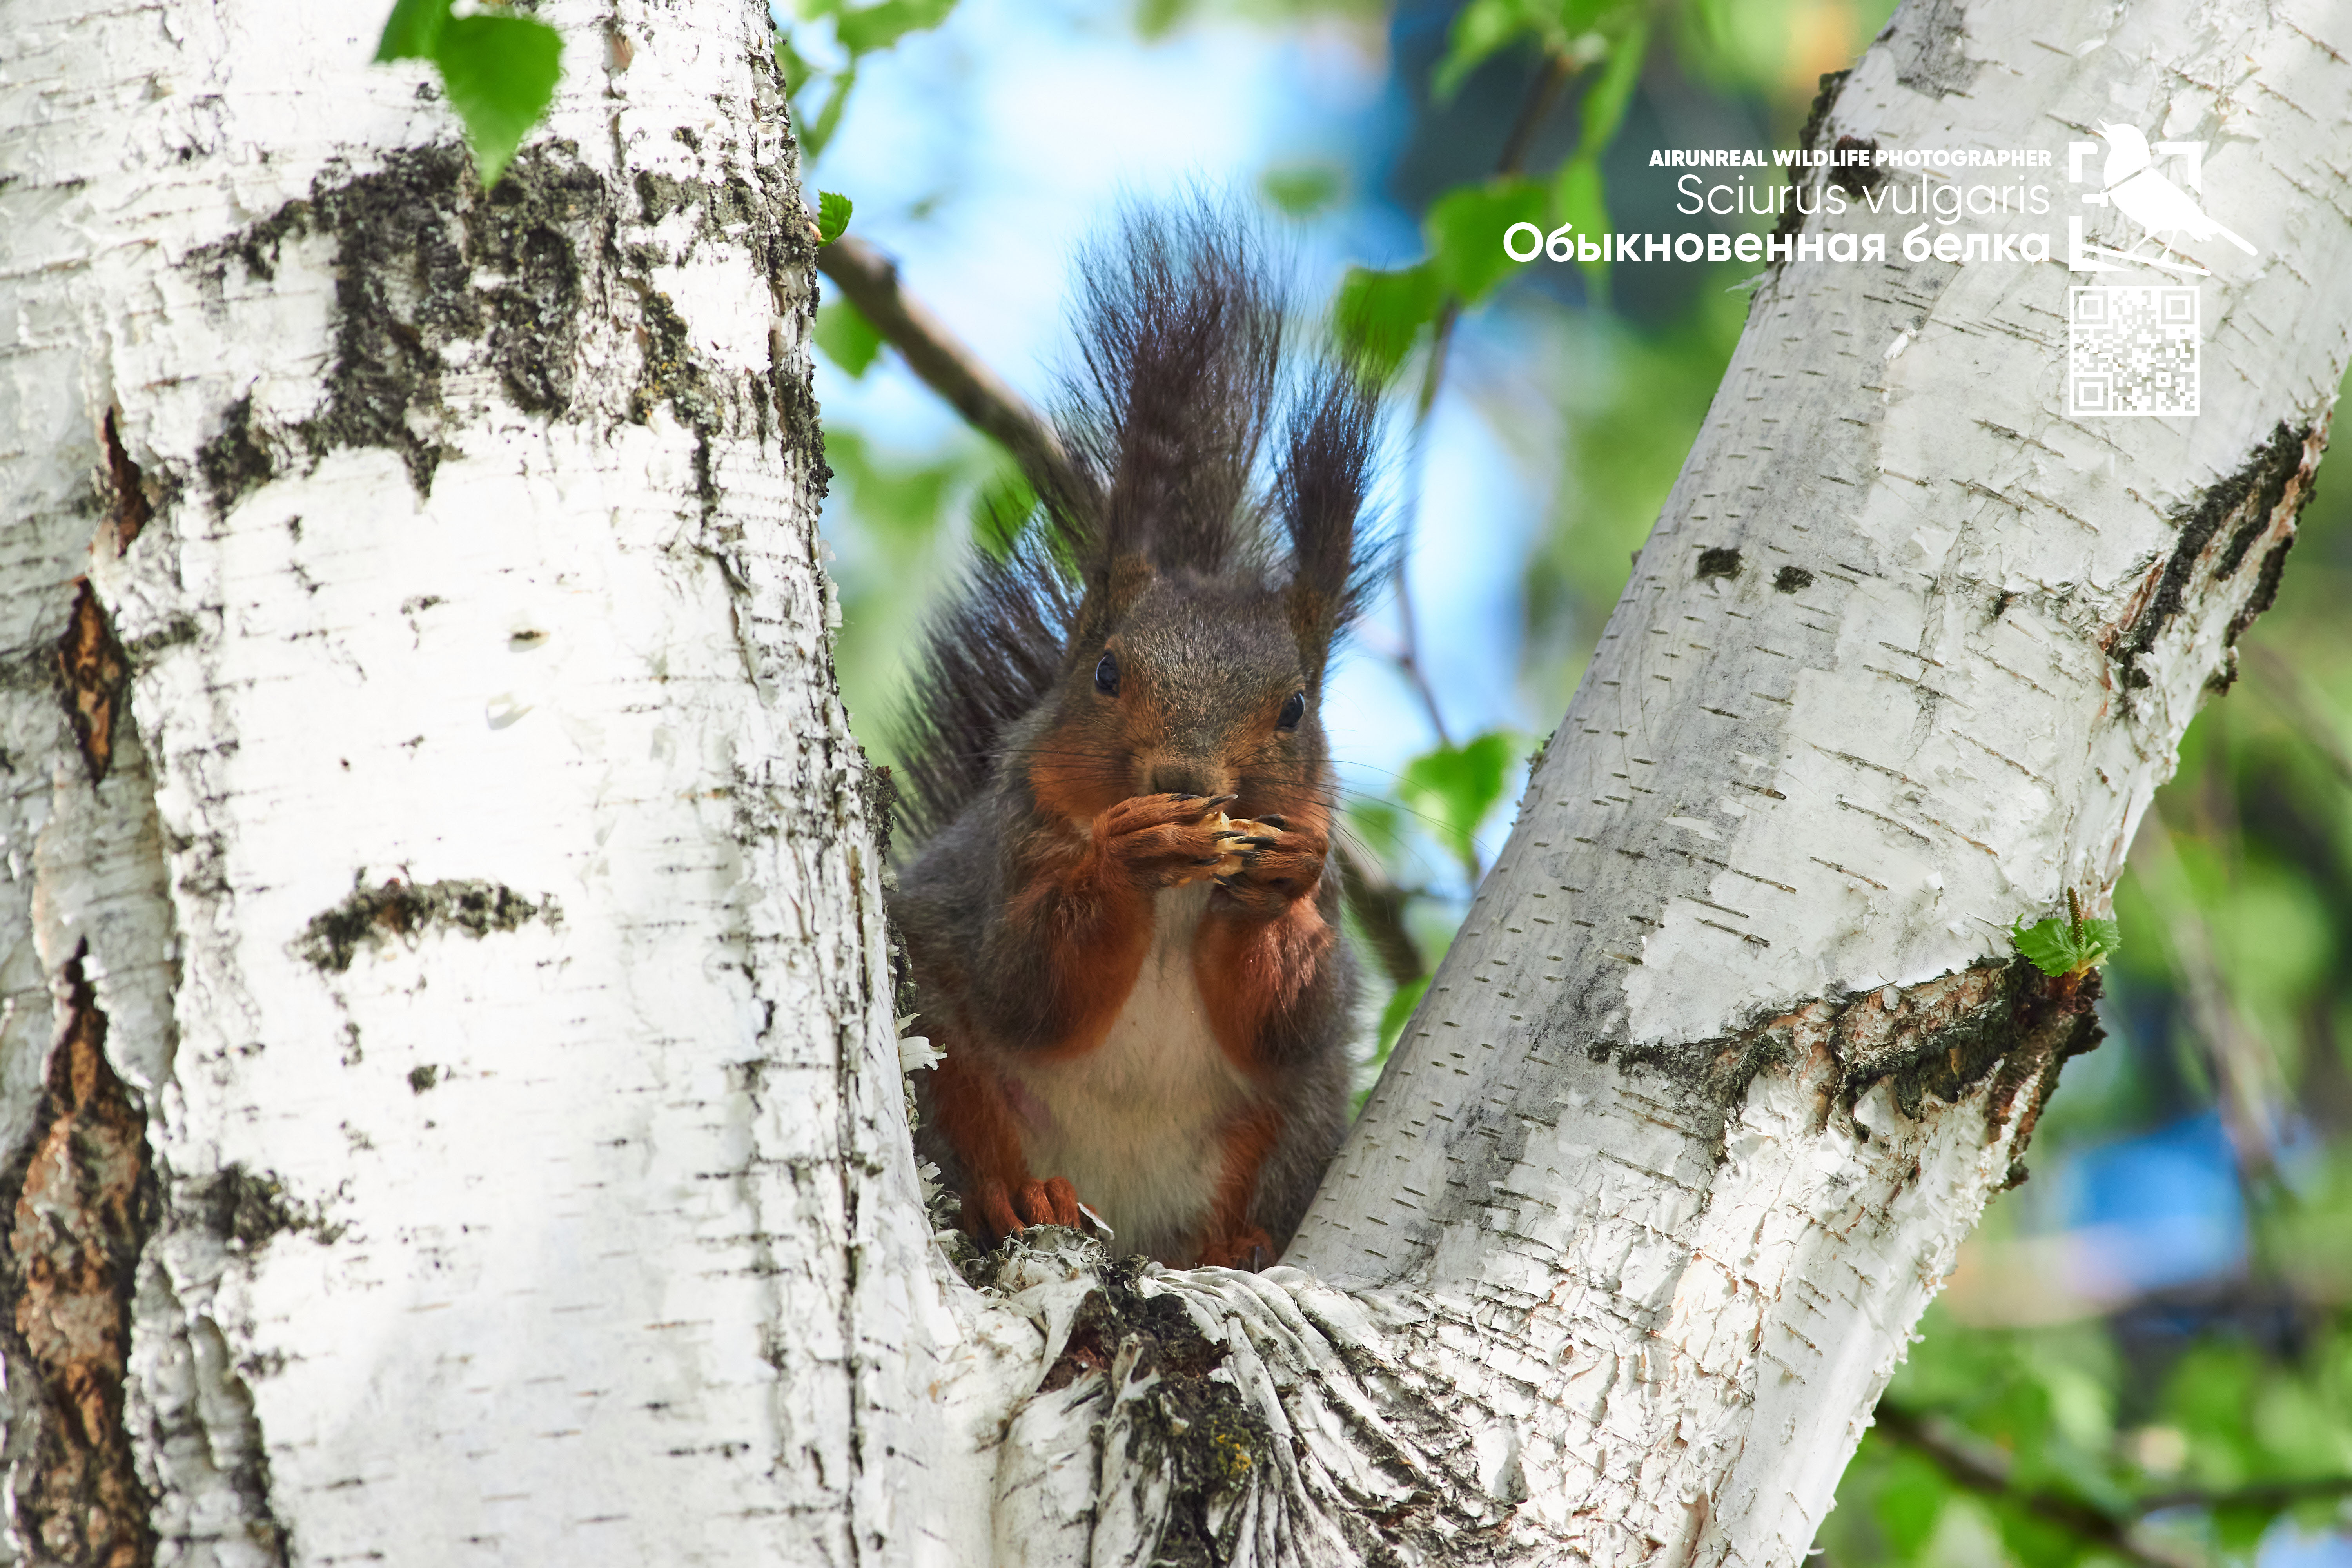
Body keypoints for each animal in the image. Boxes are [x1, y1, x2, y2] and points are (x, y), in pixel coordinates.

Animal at [894, 208, 1374, 1269]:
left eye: (1296, 709)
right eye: (1107, 673)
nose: (1185, 779)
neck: (1183, 898)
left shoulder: (1323, 944)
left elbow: (1290, 1016)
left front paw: (1277, 886)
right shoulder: (1007, 855)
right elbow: (1029, 981)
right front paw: (1128, 852)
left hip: (1294, 1124)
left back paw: (1234, 1244)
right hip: (941, 1064)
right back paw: (1020, 1196)